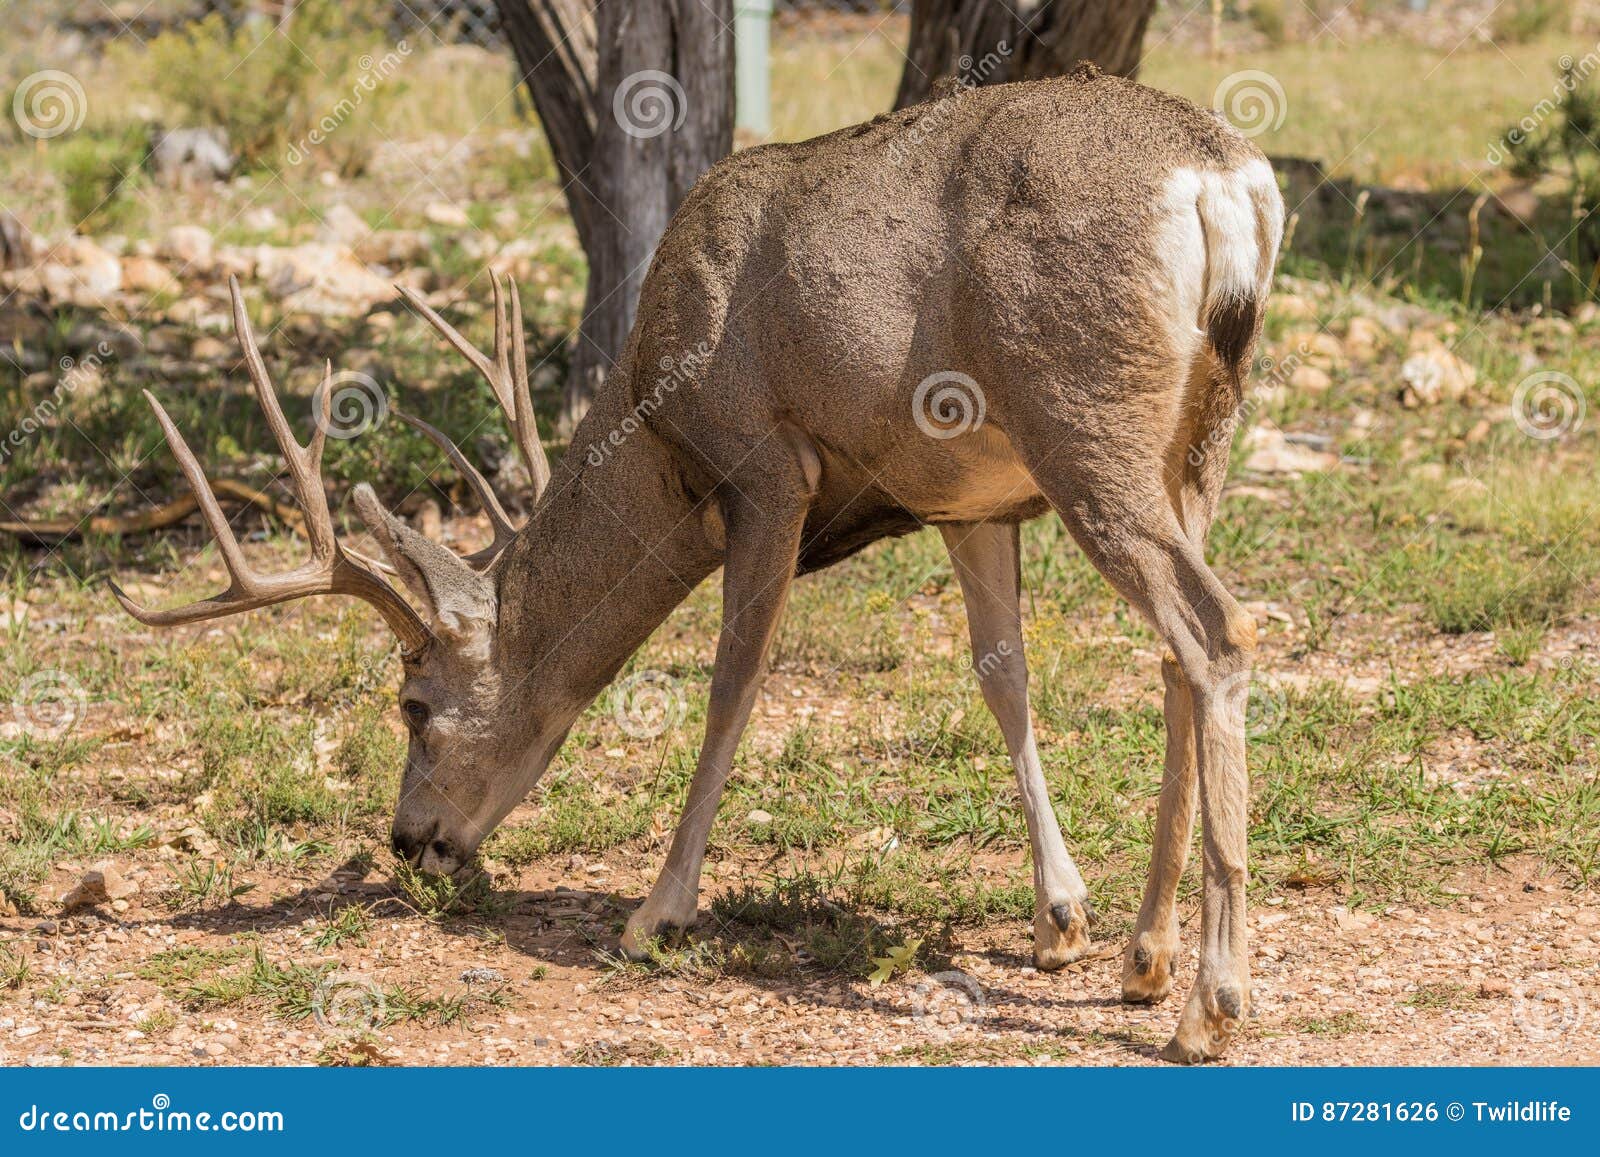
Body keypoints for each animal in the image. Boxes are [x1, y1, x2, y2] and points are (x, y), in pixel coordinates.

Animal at [112, 65, 1283, 1063]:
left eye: (412, 702)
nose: (410, 839)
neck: (659, 419)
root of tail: (1221, 180)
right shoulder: (966, 498)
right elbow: (1005, 677)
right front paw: (1060, 918)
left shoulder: (764, 466)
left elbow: (734, 682)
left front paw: (655, 910)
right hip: (1192, 441)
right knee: (1178, 655)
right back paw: (1147, 959)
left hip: (1081, 416)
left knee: (1217, 628)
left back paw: (1211, 1007)